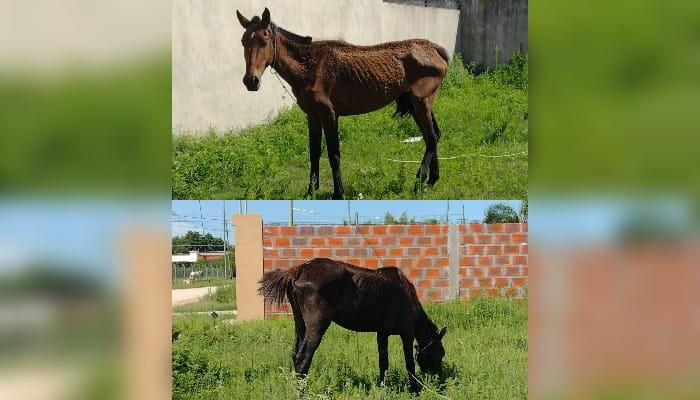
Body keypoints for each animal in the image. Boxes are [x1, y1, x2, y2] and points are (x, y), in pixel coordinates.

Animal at [237, 8, 449, 199]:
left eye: (264, 40)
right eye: (243, 41)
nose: (251, 81)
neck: (310, 66)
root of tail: (434, 49)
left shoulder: (329, 115)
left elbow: (334, 154)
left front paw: (338, 192)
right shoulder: (313, 116)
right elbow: (314, 153)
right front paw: (310, 191)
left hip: (421, 102)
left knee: (431, 138)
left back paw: (419, 181)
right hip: (418, 105)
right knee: (433, 136)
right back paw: (431, 180)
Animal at [258, 257, 447, 393]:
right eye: (440, 352)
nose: (441, 379)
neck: (406, 293)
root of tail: (298, 270)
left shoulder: (382, 333)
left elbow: (383, 361)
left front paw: (382, 387)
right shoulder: (407, 333)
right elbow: (409, 364)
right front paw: (415, 390)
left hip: (300, 324)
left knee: (295, 354)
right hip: (316, 325)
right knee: (303, 357)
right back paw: (302, 393)